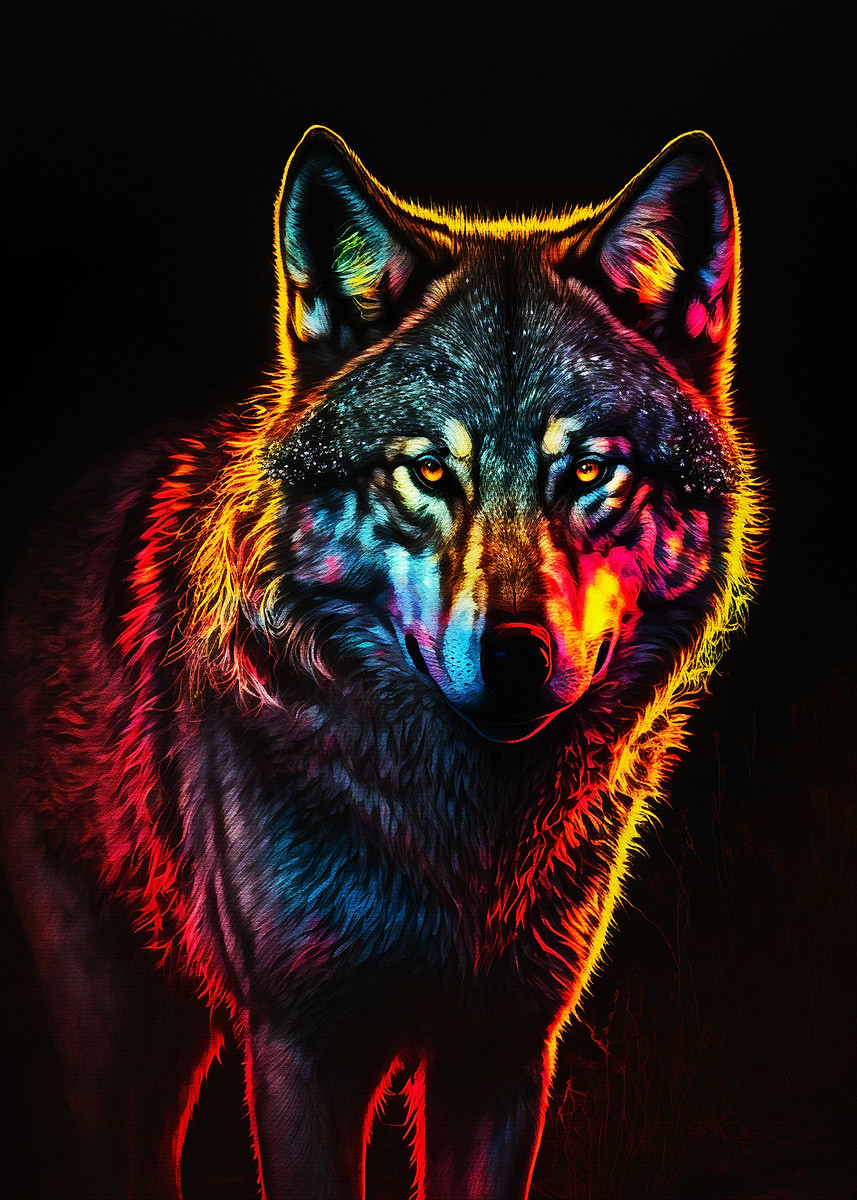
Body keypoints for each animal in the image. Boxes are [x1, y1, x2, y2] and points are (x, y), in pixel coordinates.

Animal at [1, 126, 757, 1199]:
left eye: (588, 470)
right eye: (428, 470)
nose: (514, 657)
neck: (468, 840)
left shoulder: (503, 1053)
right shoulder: (301, 1049)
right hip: (115, 1023)